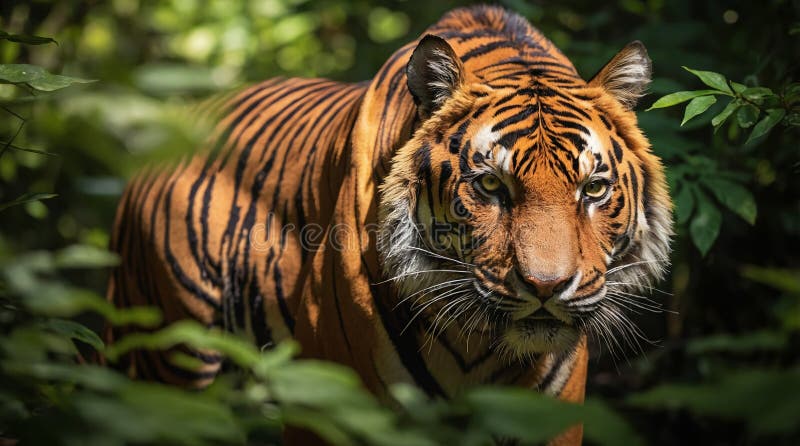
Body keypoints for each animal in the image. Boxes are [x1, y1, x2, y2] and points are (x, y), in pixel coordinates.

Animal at [105, 5, 672, 445]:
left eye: (592, 189)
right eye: (491, 186)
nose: (547, 287)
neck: (477, 345)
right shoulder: (329, 405)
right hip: (167, 358)